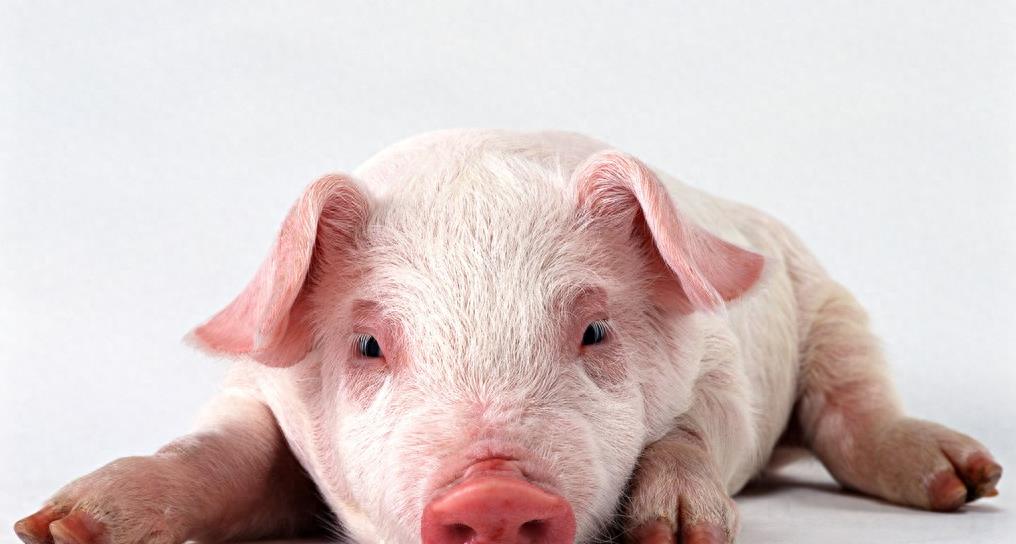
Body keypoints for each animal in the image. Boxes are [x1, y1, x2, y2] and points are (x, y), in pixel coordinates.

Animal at [15, 129, 1002, 544]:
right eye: (369, 345)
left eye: (595, 329)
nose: (493, 493)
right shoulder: (259, 388)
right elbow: (222, 450)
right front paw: (64, 527)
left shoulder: (722, 374)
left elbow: (689, 433)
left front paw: (674, 535)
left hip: (829, 301)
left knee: (853, 405)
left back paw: (966, 482)